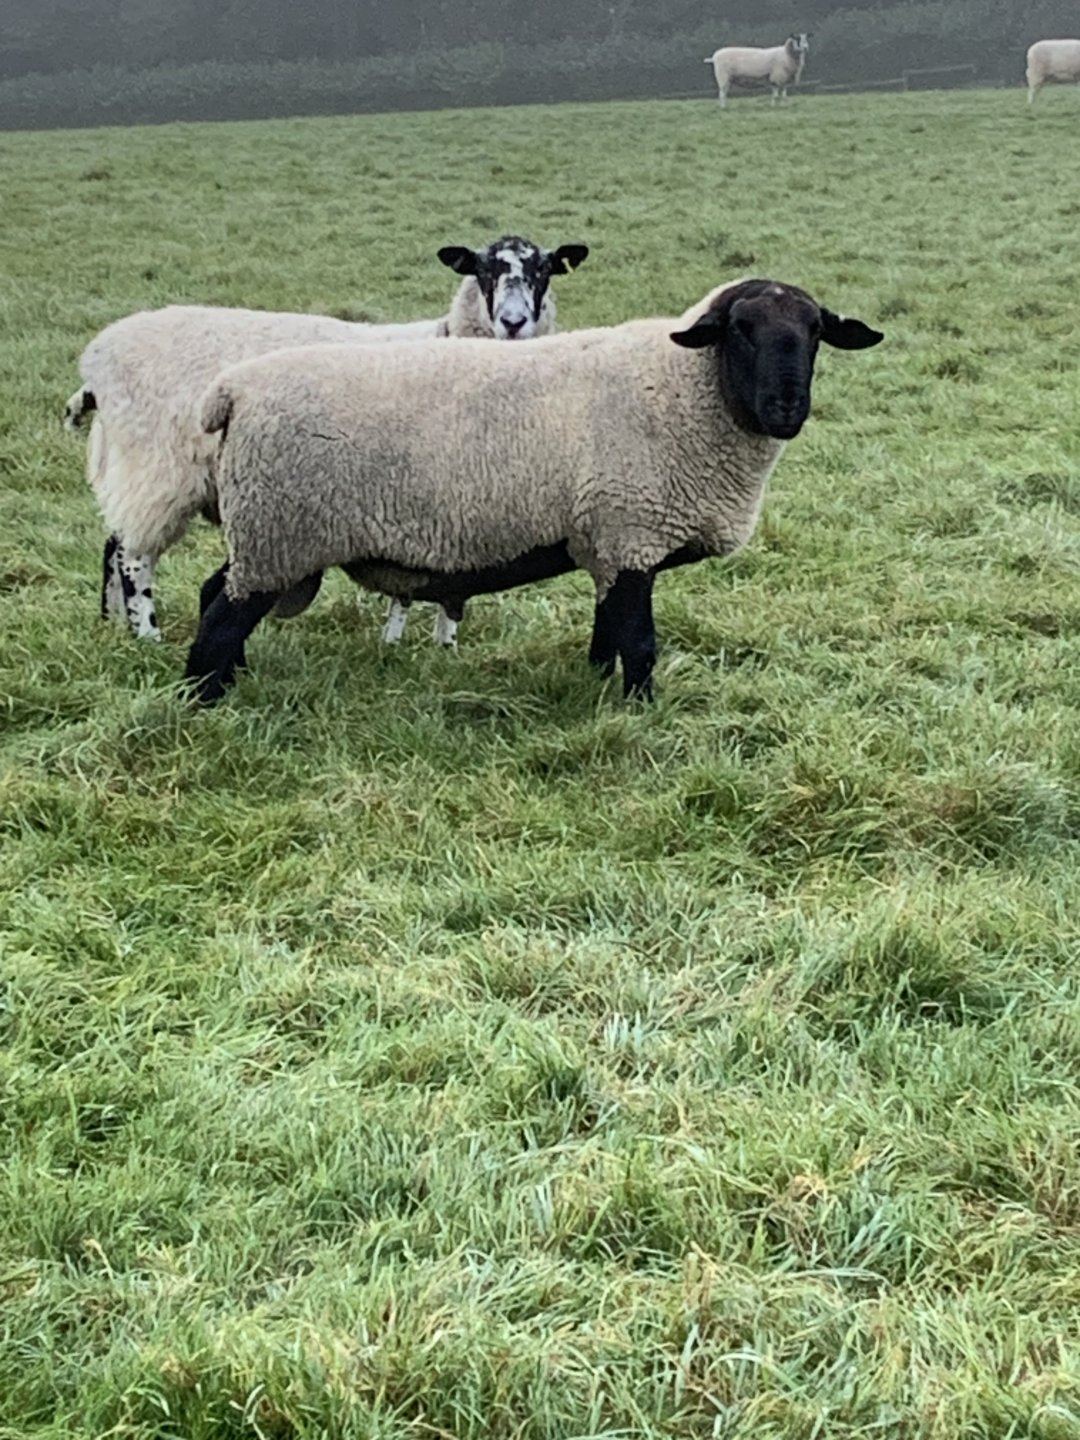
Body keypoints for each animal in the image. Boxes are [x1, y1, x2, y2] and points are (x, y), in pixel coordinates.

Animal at [64, 234, 589, 646]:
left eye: (543, 269)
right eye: (483, 270)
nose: (514, 322)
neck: (448, 336)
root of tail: (96, 359)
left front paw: (427, 644)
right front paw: (411, 642)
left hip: (131, 470)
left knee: (113, 545)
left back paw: (113, 626)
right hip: (158, 471)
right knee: (135, 558)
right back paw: (146, 634)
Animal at [184, 277, 882, 707]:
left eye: (815, 332)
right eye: (739, 329)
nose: (787, 409)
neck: (682, 386)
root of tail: (232, 391)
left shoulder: (606, 540)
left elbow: (608, 633)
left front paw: (598, 689)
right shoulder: (631, 534)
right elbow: (641, 642)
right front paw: (642, 712)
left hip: (266, 535)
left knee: (215, 591)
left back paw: (232, 681)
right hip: (280, 530)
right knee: (221, 618)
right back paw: (204, 703)